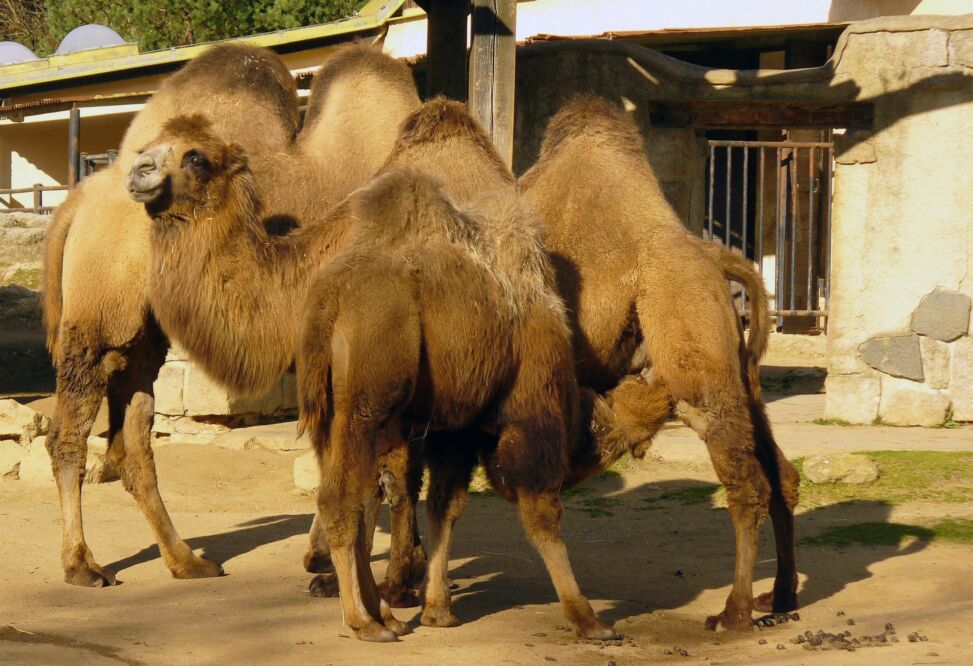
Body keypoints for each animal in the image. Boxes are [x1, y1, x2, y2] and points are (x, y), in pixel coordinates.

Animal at [41, 43, 423, 592]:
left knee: (131, 442)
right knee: (69, 436)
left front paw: (328, 557)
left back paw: (187, 561)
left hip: (142, 340)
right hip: (99, 323)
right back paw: (82, 565)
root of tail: (79, 199)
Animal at [518, 97, 801, 631]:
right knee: (782, 477)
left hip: (695, 352)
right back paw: (780, 597)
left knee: (748, 482)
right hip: (739, 375)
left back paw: (733, 613)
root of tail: (714, 257)